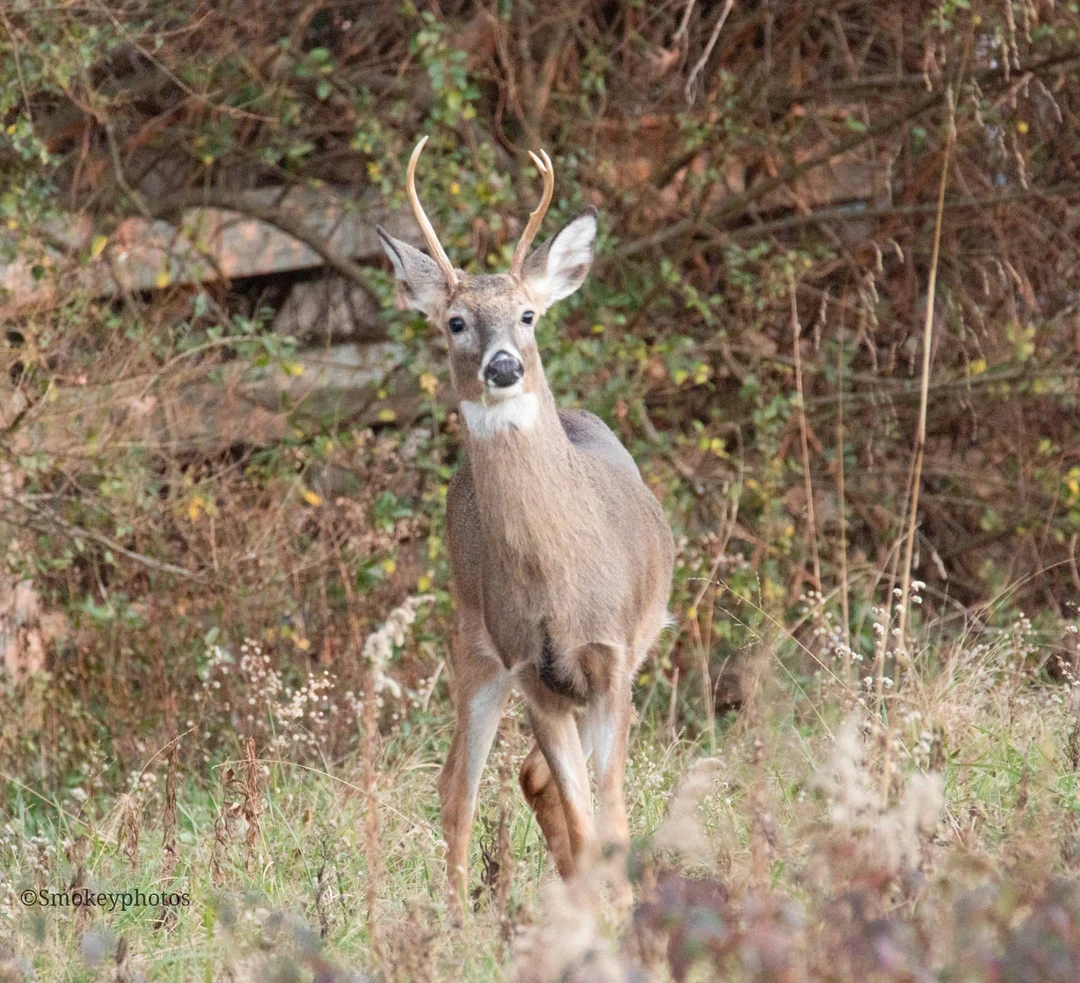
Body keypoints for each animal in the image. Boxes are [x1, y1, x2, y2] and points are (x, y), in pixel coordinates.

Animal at [377, 138, 674, 912]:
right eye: (455, 322)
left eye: (528, 315)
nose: (504, 365)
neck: (561, 584)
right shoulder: (532, 671)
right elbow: (587, 817)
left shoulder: (612, 662)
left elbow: (611, 815)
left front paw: (618, 912)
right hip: (472, 636)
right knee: (458, 782)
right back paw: (455, 918)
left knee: (520, 778)